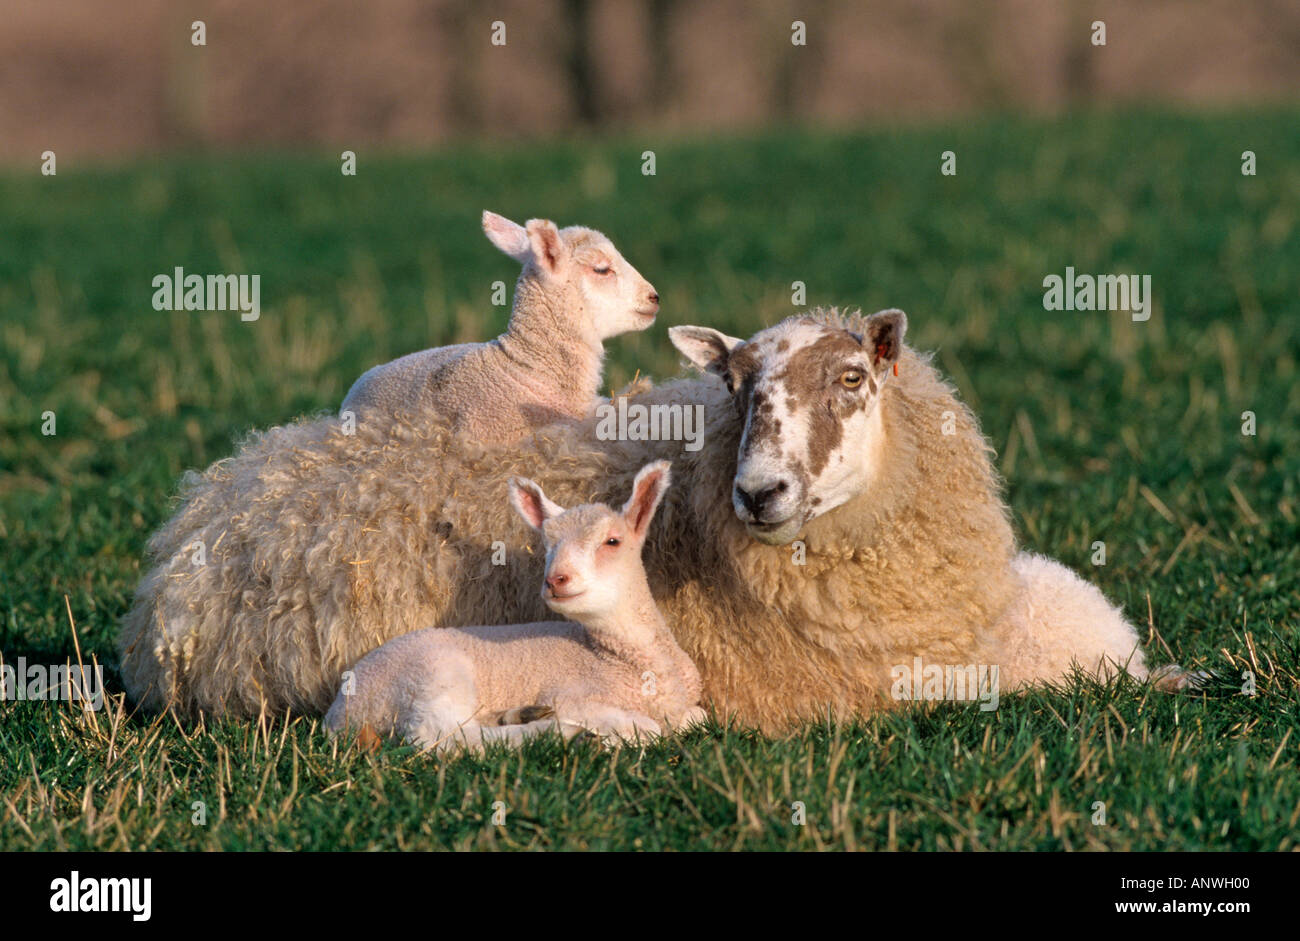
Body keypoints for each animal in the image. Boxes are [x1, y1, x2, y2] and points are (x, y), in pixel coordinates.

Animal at [323, 460, 705, 751]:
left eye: (613, 541)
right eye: (547, 545)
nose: (556, 579)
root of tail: (339, 713)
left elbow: (697, 718)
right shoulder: (572, 695)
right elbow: (650, 730)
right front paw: (609, 735)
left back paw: (521, 714)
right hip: (432, 674)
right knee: (441, 736)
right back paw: (561, 733)